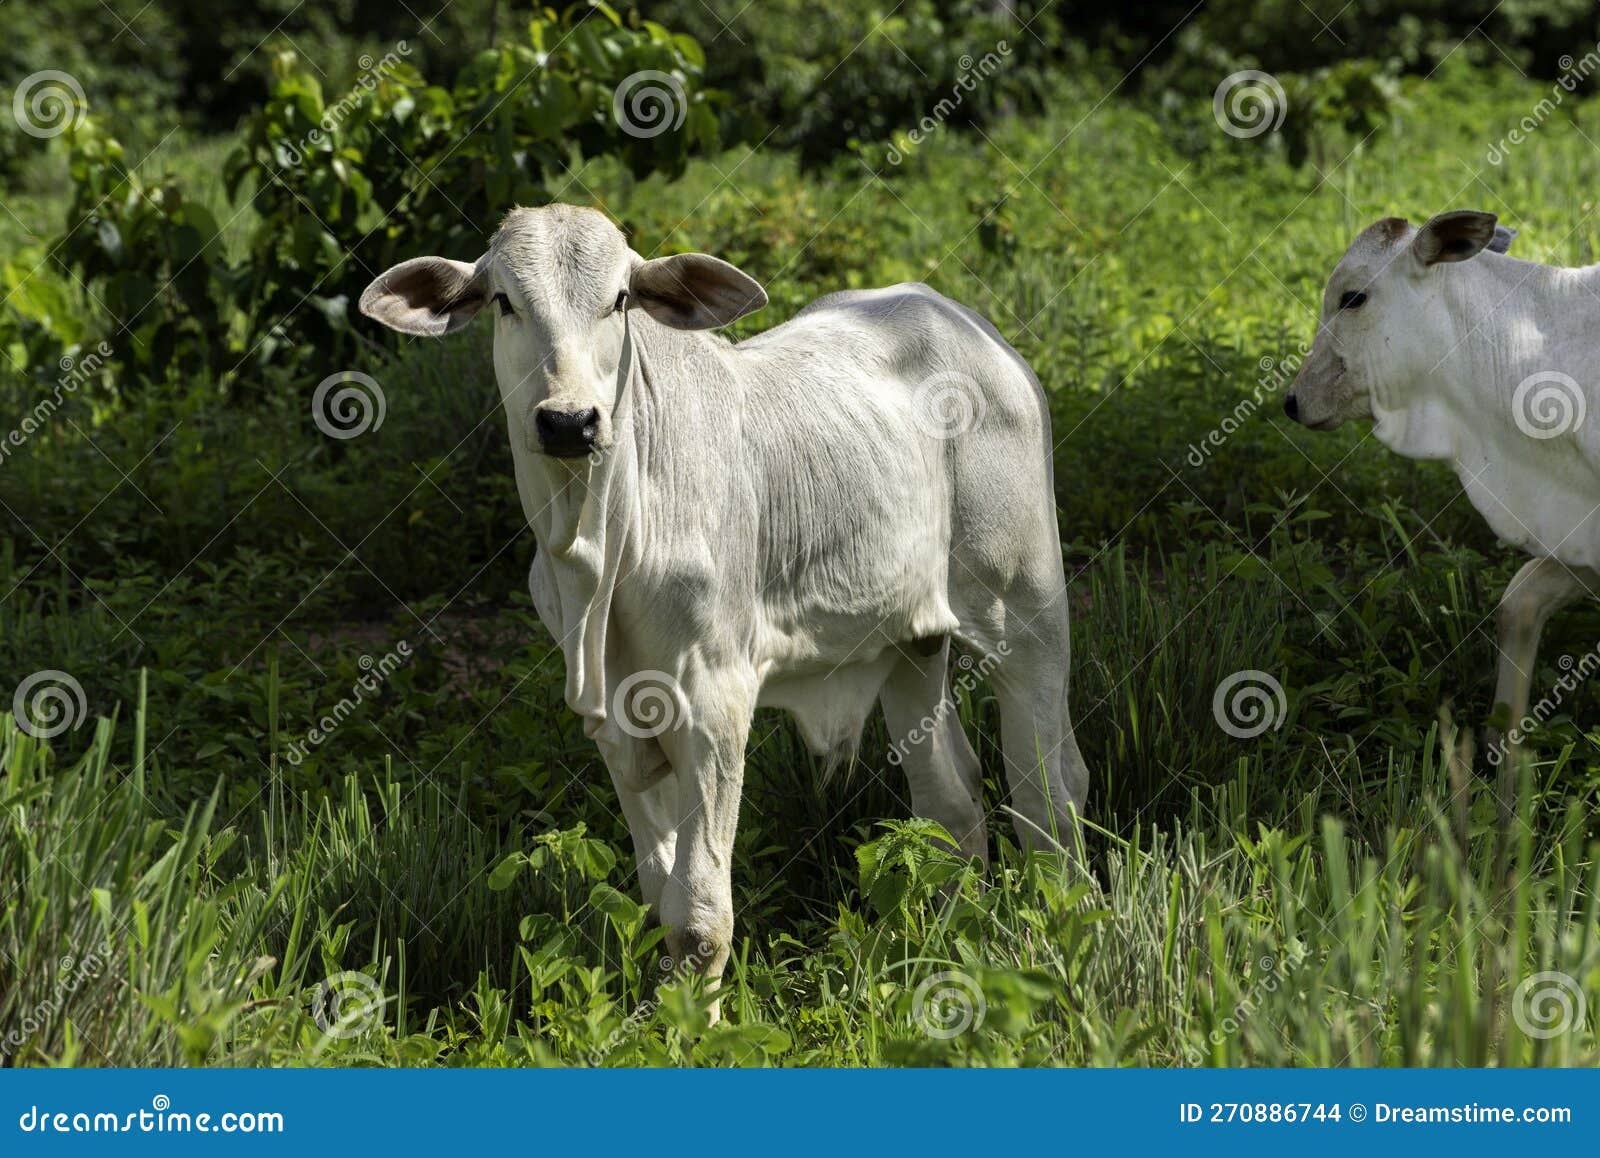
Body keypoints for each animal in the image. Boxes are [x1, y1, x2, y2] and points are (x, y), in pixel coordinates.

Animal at [360, 203, 1090, 1004]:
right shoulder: (615, 720)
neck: (598, 548)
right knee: (948, 801)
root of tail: (970, 327)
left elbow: (700, 916)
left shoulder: (714, 701)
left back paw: (1063, 929)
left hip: (1028, 612)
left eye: (620, 300)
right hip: (910, 644)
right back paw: (954, 943)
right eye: (503, 302)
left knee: (1049, 794)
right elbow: (658, 897)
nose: (569, 421)